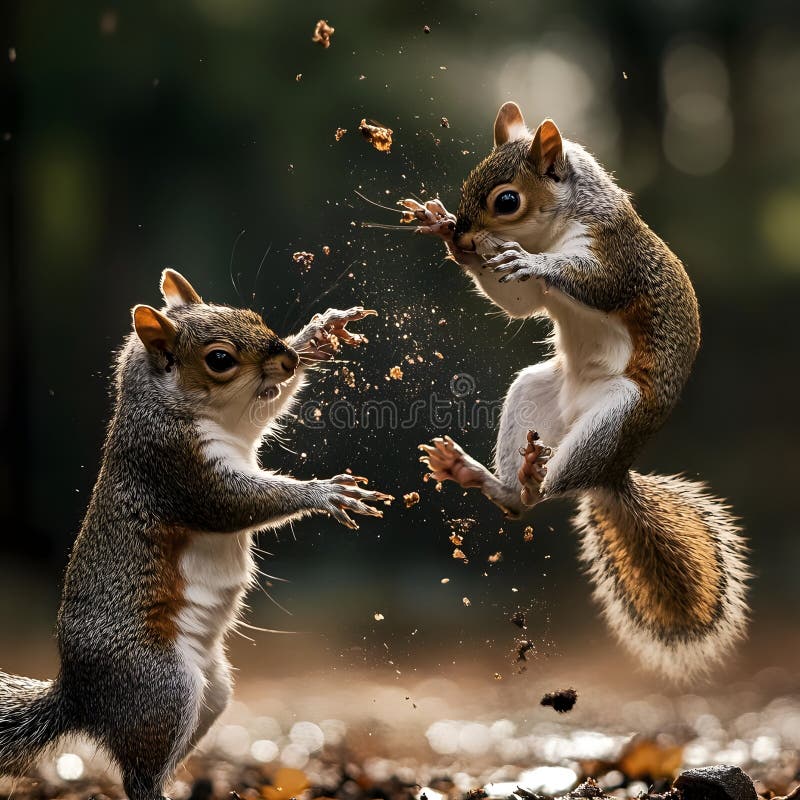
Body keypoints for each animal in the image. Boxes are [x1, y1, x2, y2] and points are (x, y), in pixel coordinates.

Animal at [0, 269, 392, 800]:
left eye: (252, 315)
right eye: (220, 359)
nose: (286, 359)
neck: (168, 404)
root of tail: (80, 696)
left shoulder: (246, 421)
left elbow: (273, 405)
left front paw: (317, 333)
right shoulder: (176, 466)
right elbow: (233, 504)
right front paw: (325, 493)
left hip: (212, 693)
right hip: (161, 689)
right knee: (140, 777)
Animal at [410, 101, 749, 680]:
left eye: (506, 200)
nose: (463, 236)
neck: (556, 225)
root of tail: (610, 471)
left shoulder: (614, 254)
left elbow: (593, 282)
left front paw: (531, 261)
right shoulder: (528, 296)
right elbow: (518, 303)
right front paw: (442, 231)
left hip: (615, 415)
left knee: (542, 495)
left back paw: (531, 477)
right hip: (532, 398)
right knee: (516, 503)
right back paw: (480, 472)